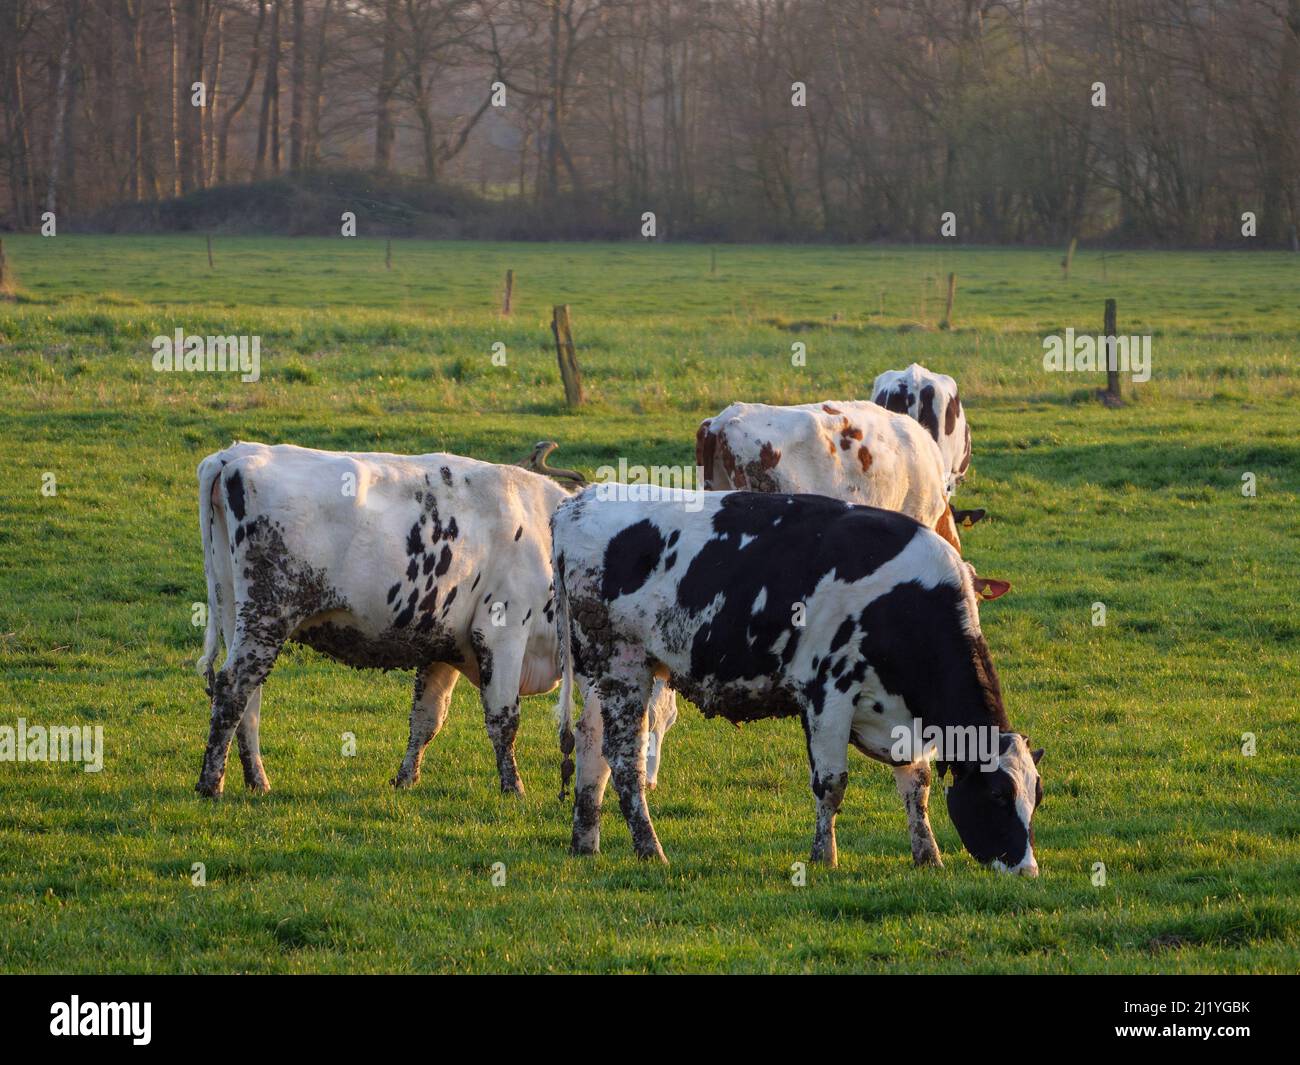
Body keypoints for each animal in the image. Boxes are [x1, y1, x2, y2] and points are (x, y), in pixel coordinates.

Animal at [194, 441, 676, 799]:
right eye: (655, 720)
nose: (649, 782)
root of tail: (236, 455)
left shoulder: (443, 645)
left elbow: (426, 718)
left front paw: (405, 779)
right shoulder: (502, 630)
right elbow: (503, 717)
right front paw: (513, 788)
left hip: (240, 613)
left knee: (248, 697)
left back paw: (255, 779)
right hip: (268, 615)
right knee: (233, 688)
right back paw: (211, 784)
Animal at [552, 487, 1043, 874]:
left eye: (1035, 798)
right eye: (998, 796)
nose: (1027, 870)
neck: (905, 603)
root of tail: (578, 501)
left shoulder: (904, 719)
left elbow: (916, 785)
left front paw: (928, 856)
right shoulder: (829, 692)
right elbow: (832, 783)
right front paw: (824, 857)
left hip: (605, 671)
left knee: (592, 745)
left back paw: (585, 842)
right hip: (622, 663)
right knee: (625, 759)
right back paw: (650, 849)